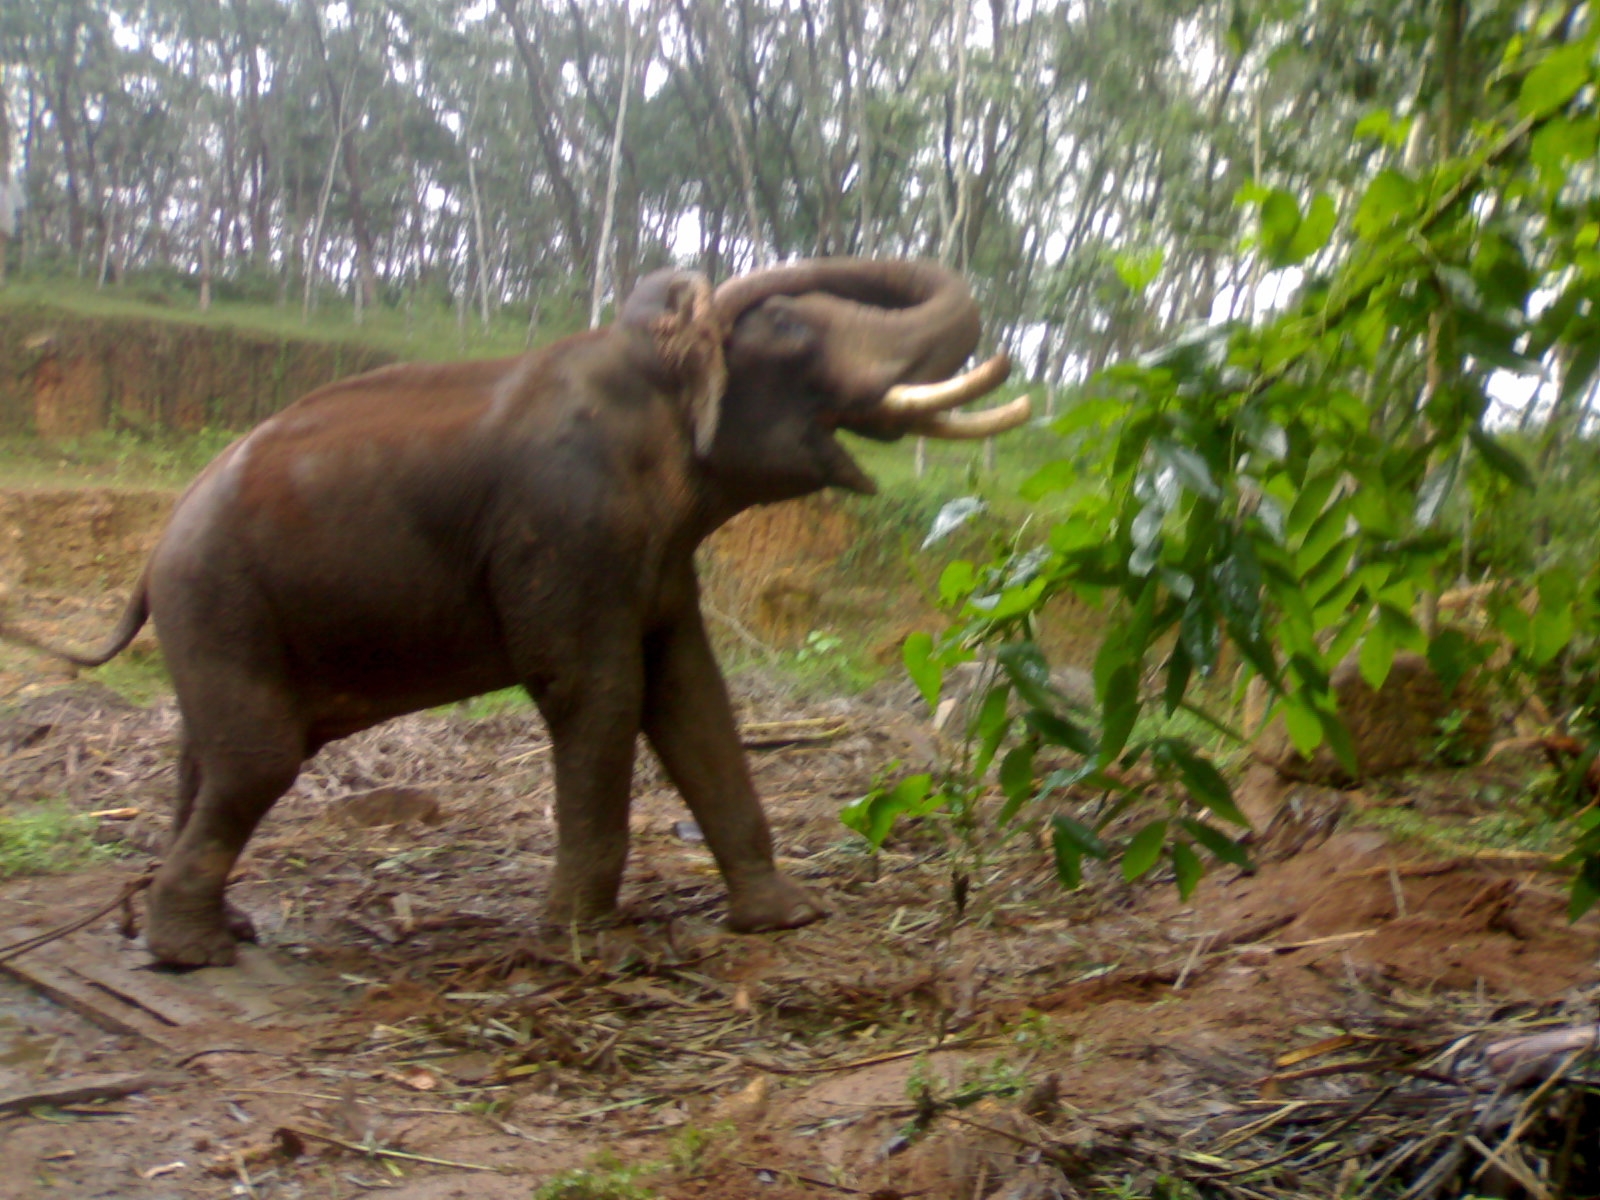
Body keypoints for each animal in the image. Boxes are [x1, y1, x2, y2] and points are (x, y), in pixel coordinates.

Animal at [2, 258, 1028, 967]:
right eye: (789, 330)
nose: (1015, 353)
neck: (636, 357)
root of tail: (150, 558)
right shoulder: (563, 523)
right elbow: (598, 692)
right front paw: (585, 944)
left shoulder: (654, 556)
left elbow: (691, 695)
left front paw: (786, 920)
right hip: (220, 601)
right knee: (257, 759)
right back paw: (195, 953)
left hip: (220, 618)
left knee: (203, 758)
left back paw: (223, 927)